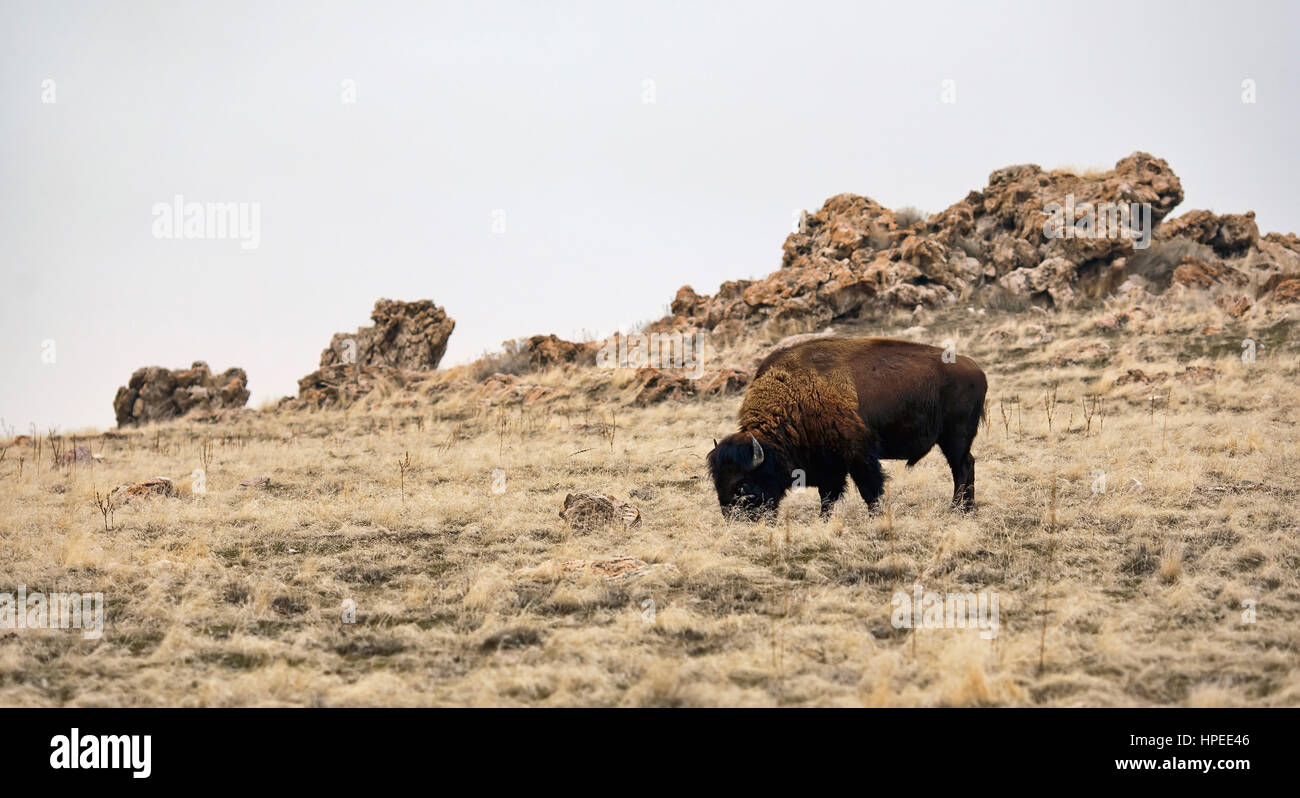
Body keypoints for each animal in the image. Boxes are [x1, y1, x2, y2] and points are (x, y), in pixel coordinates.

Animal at [707, 337, 987, 519]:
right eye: (717, 482)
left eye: (743, 484)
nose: (734, 519)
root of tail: (977, 370)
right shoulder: (829, 463)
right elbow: (827, 496)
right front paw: (825, 519)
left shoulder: (858, 455)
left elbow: (869, 489)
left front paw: (875, 517)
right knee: (967, 466)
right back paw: (965, 509)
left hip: (955, 438)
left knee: (962, 468)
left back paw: (957, 510)